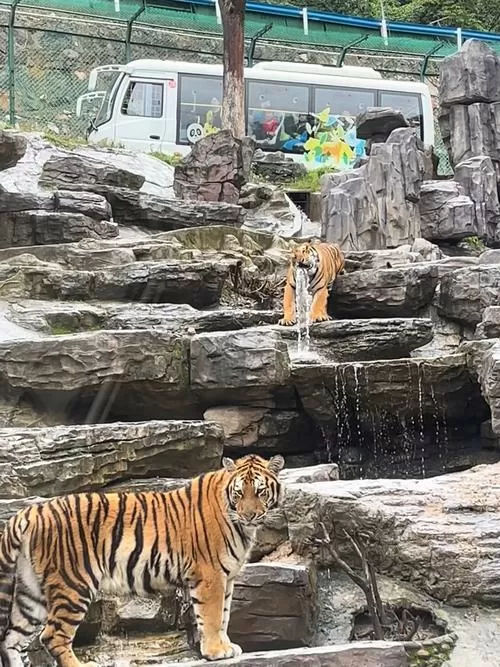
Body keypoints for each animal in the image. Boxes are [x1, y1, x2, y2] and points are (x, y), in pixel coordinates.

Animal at [0, 453, 285, 666]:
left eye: (260, 492)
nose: (249, 515)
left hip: (30, 593)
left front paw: (225, 646)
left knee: (11, 640)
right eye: (239, 493)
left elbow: (224, 615)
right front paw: (216, 651)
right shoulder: (211, 575)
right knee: (52, 636)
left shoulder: (227, 577)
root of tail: (28, 512)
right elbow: (213, 616)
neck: (239, 524)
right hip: (73, 584)